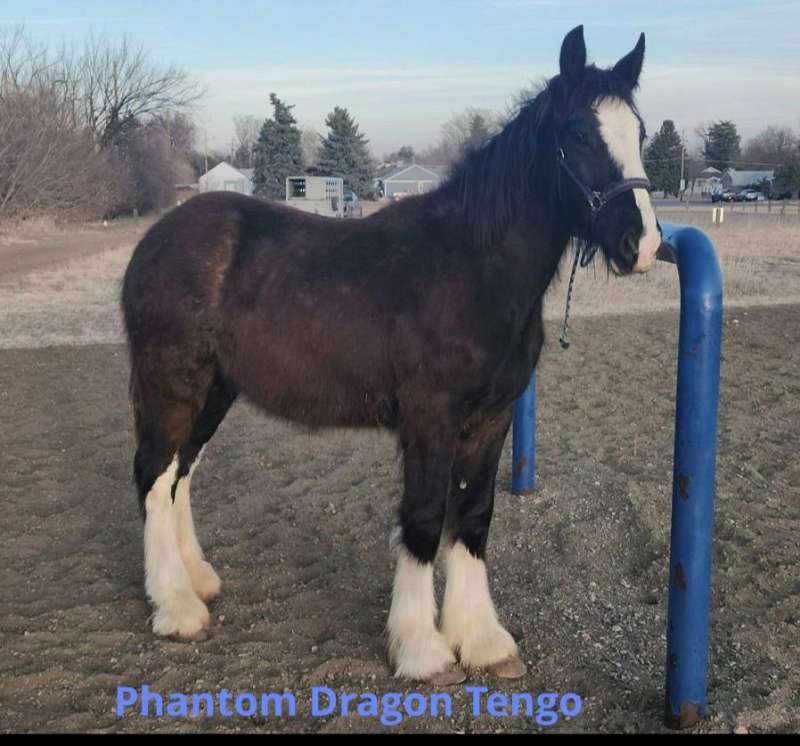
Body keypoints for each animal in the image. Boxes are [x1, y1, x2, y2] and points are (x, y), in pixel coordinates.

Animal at [122, 25, 661, 685]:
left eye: (639, 132)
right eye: (580, 134)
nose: (643, 245)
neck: (474, 268)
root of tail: (156, 239)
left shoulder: (492, 418)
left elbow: (473, 517)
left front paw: (481, 640)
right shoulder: (430, 417)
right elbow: (424, 520)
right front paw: (421, 648)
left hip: (216, 390)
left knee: (181, 474)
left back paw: (198, 581)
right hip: (173, 384)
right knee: (154, 476)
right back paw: (175, 607)